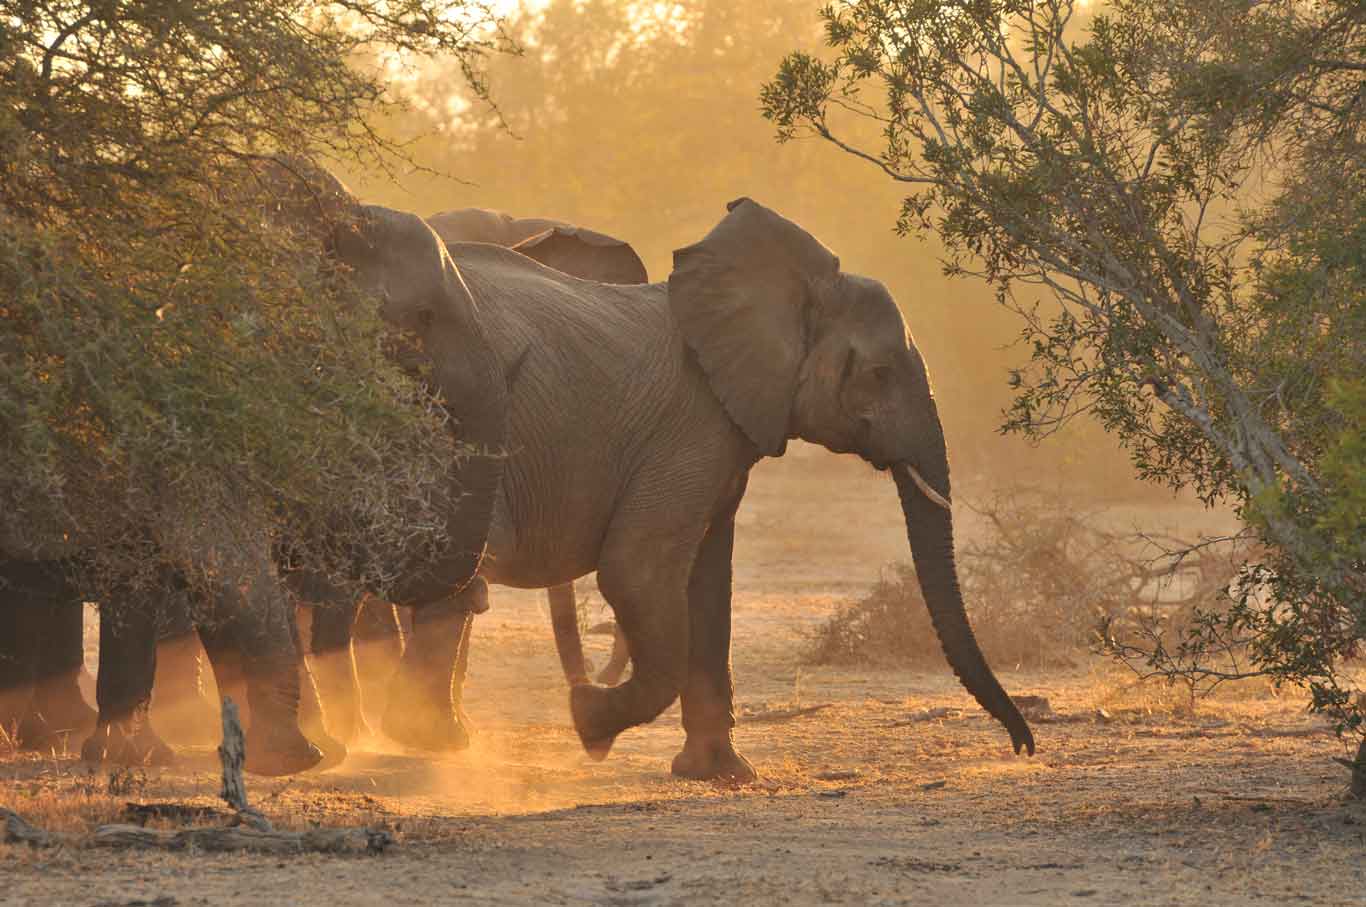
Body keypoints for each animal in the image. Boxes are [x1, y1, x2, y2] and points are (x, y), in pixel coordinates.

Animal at [404, 196, 1035, 781]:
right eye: (879, 375)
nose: (1024, 746)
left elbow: (707, 577)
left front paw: (719, 773)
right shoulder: (690, 428)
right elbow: (639, 570)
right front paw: (589, 722)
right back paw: (432, 741)